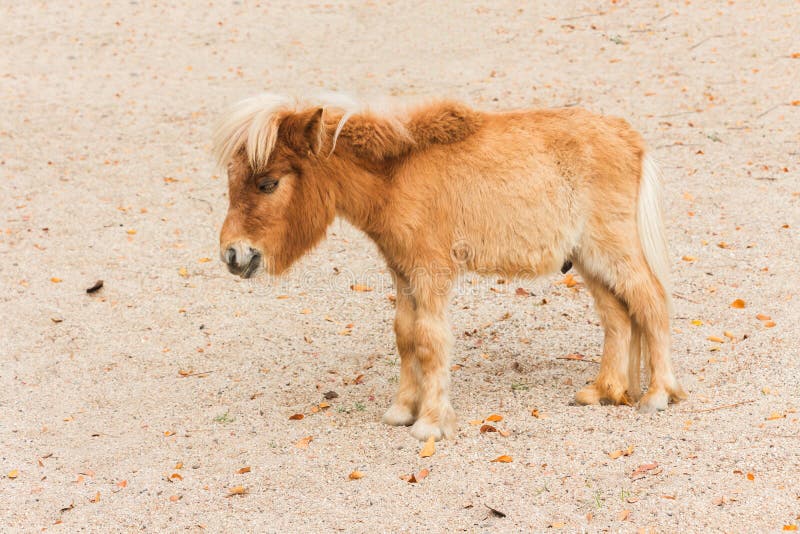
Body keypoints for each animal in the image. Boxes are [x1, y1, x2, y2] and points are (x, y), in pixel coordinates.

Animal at [212, 93, 686, 441]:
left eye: (268, 183)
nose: (234, 255)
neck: (397, 176)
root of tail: (629, 138)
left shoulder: (430, 274)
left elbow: (430, 340)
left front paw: (430, 423)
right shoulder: (402, 273)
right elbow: (405, 335)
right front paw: (403, 410)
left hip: (613, 251)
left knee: (650, 303)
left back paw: (657, 395)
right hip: (590, 261)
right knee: (618, 317)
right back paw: (604, 391)